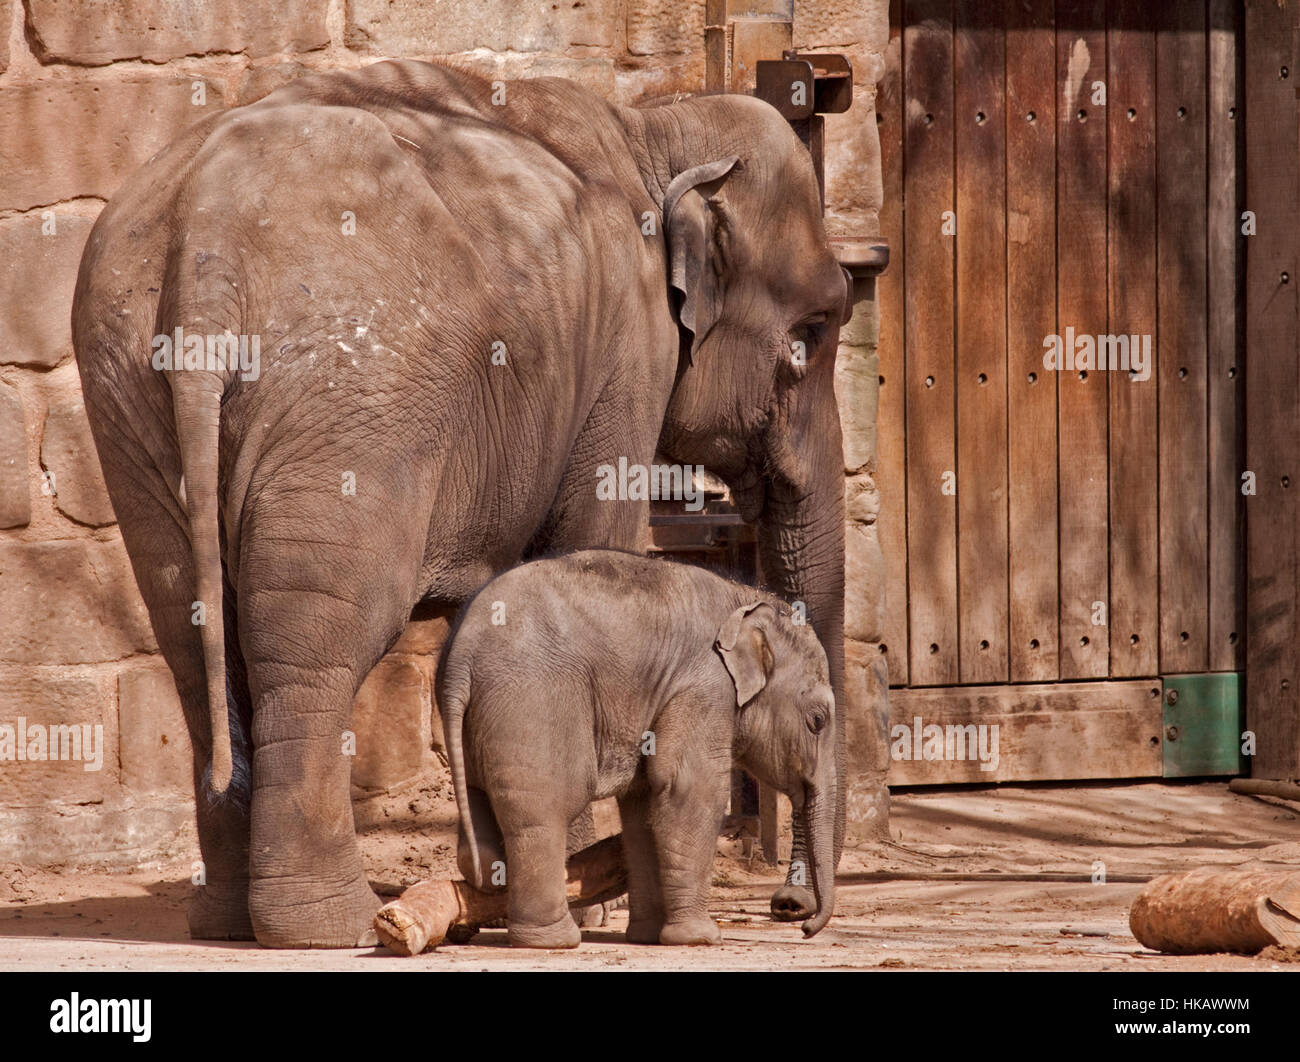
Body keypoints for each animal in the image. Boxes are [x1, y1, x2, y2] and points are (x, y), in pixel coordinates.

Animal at [441, 550, 836, 948]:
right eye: (818, 720)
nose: (803, 925)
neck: (744, 598)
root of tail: (461, 657)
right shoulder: (704, 687)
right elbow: (688, 788)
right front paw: (701, 938)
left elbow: (643, 804)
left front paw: (648, 937)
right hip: (534, 700)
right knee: (546, 807)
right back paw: (555, 940)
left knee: (481, 807)